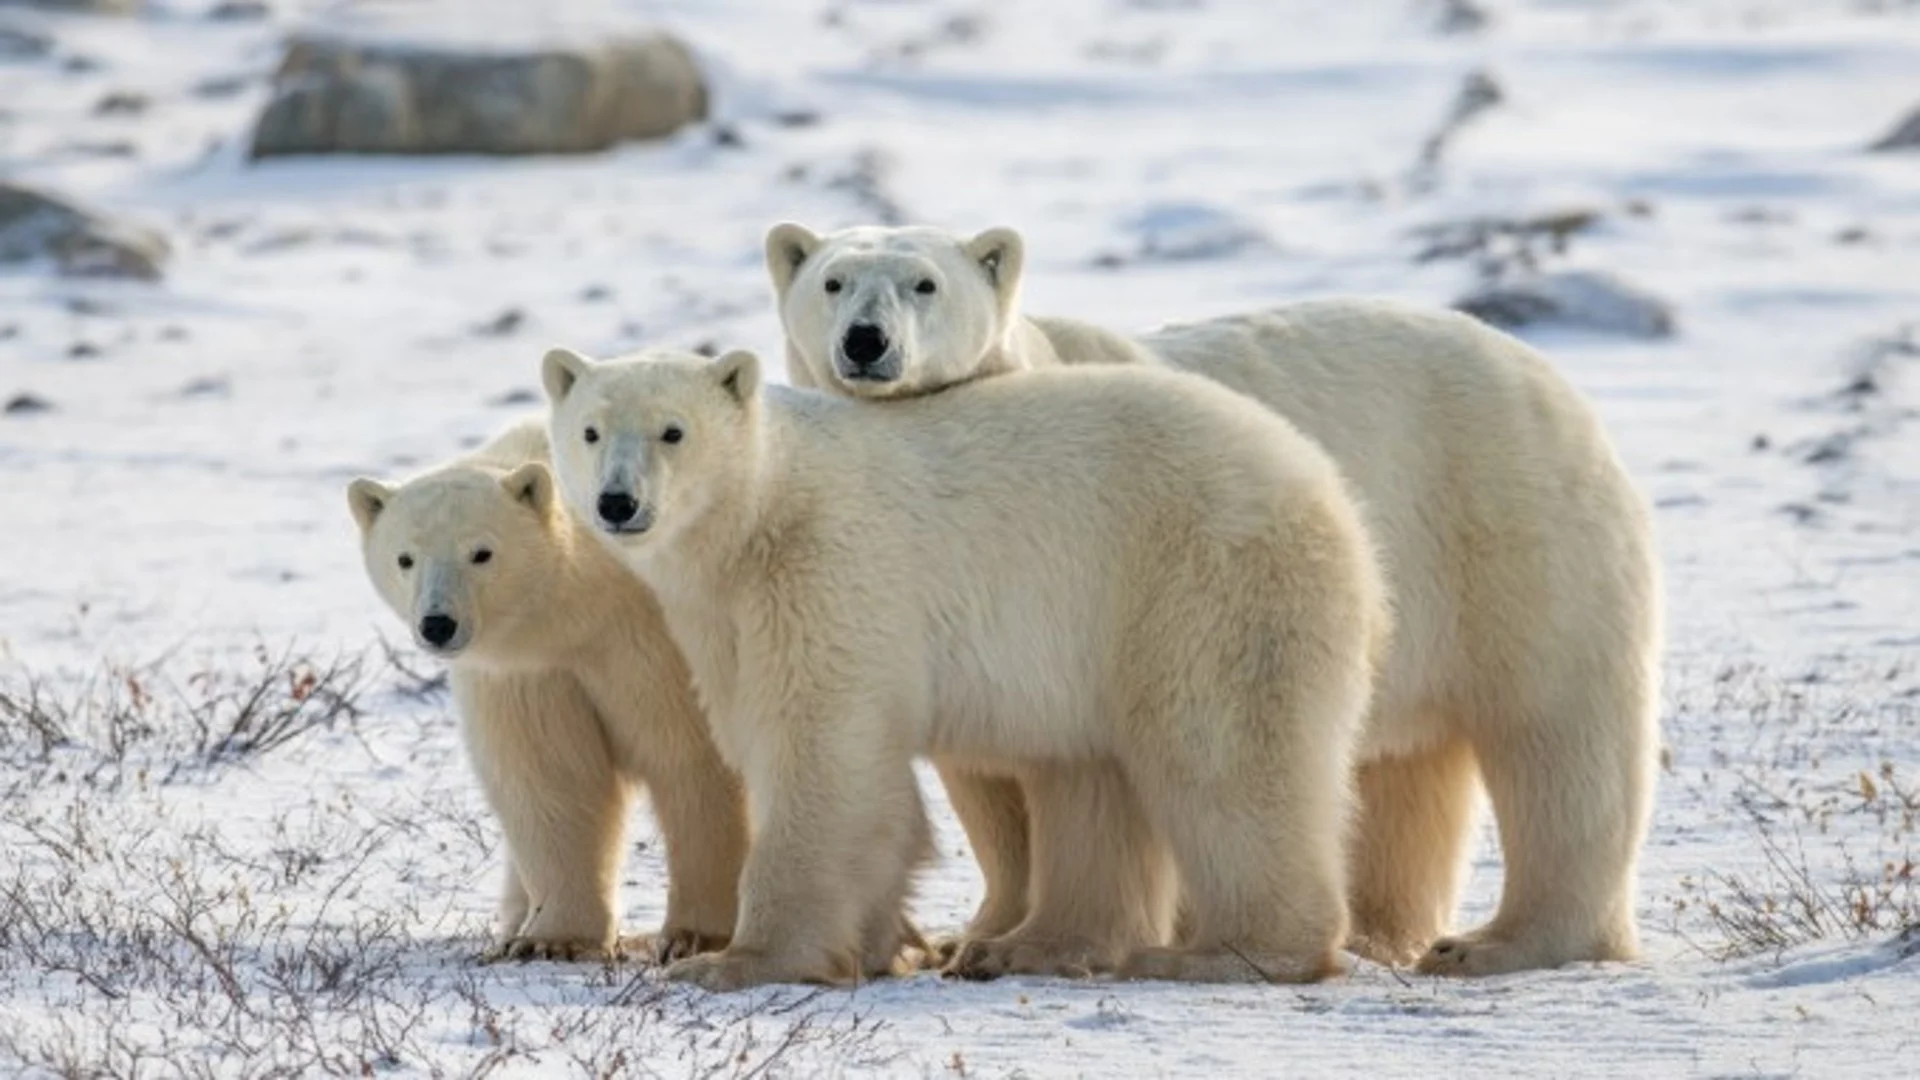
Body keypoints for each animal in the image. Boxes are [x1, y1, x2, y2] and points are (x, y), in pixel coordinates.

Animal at [348, 418, 749, 963]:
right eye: (405, 558)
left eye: (481, 553)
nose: (437, 624)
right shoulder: (530, 673)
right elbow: (550, 779)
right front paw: (552, 939)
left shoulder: (657, 645)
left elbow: (693, 759)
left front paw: (695, 936)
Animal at [539, 344, 1389, 992]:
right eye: (589, 430)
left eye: (672, 432)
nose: (618, 503)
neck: (761, 516)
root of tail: (1329, 490)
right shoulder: (722, 619)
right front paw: (881, 942)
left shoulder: (827, 570)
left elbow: (820, 748)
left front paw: (735, 960)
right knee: (1093, 777)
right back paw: (1023, 946)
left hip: (1200, 580)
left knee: (1219, 753)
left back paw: (1228, 952)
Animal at [765, 221, 1664, 979]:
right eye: (833, 280)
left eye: (924, 283)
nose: (866, 342)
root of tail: (1546, 376)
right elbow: (990, 782)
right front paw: (978, 936)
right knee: (1405, 775)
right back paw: (1380, 932)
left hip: (1512, 529)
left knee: (1556, 736)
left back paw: (1499, 943)